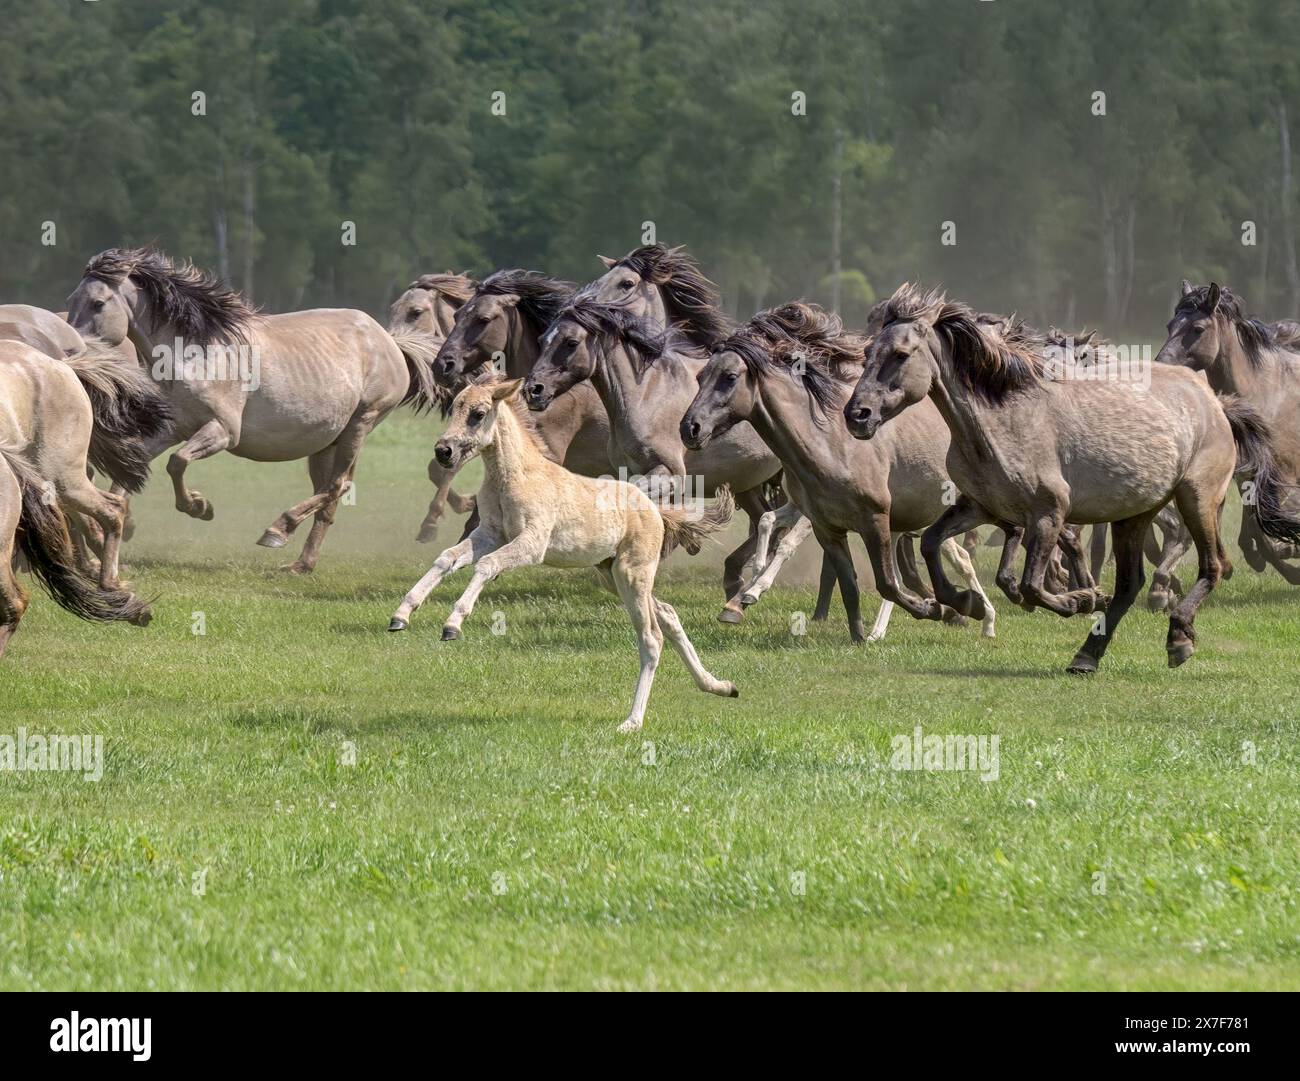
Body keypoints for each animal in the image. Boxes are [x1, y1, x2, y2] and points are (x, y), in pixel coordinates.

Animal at [65, 247, 445, 573]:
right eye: (72, 301)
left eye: (98, 303)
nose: (73, 353)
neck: (198, 353)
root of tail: (389, 341)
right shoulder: (169, 430)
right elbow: (128, 477)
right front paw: (112, 530)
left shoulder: (222, 431)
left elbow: (178, 463)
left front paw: (199, 507)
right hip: (326, 444)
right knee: (330, 495)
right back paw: (301, 564)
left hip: (361, 425)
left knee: (336, 486)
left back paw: (277, 530)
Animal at [387, 378, 738, 734]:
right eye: (455, 407)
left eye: (478, 414)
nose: (443, 451)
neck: (515, 476)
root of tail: (655, 511)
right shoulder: (489, 535)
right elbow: (447, 558)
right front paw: (401, 615)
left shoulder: (531, 544)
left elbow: (487, 566)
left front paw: (453, 624)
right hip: (611, 576)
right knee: (668, 613)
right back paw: (720, 686)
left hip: (632, 573)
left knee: (651, 639)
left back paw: (632, 721)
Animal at [681, 301, 995, 642]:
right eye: (700, 376)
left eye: (729, 377)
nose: (690, 428)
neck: (830, 447)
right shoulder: (827, 528)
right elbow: (850, 586)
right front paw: (859, 637)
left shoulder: (874, 521)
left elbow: (885, 583)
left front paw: (942, 608)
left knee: (954, 560)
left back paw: (982, 615)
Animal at [844, 284, 1300, 673]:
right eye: (868, 352)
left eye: (901, 355)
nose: (857, 415)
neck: (999, 418)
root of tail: (1217, 403)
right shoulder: (980, 507)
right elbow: (934, 544)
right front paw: (963, 602)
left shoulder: (1048, 513)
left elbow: (1030, 584)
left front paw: (1078, 600)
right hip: (1134, 512)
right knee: (1130, 584)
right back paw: (1088, 655)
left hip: (1197, 497)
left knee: (1214, 564)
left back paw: (1178, 638)